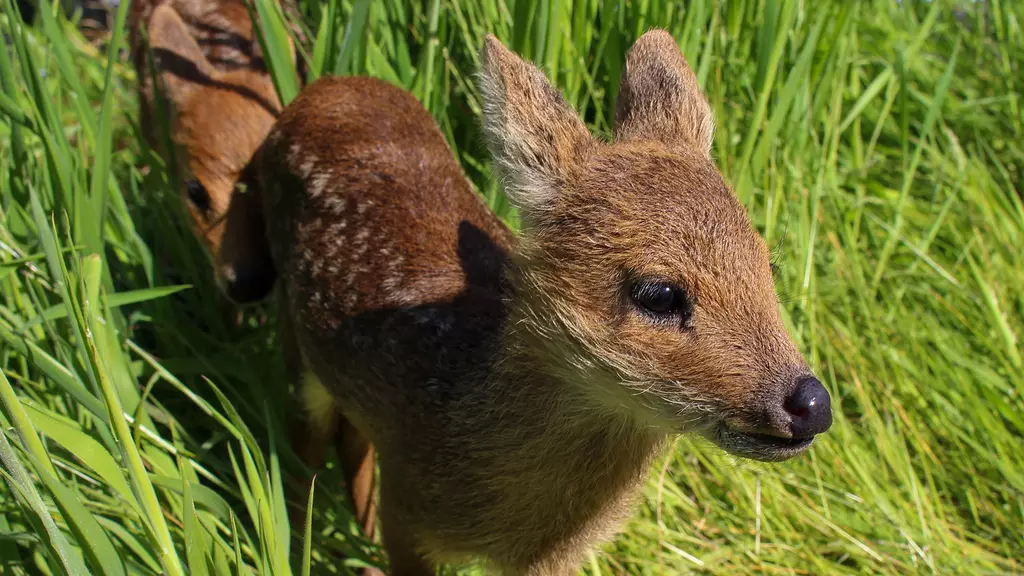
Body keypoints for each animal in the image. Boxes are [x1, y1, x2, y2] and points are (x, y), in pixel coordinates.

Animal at [228, 29, 833, 575]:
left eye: (767, 267)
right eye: (660, 294)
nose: (812, 403)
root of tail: (326, 86)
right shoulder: (411, 517)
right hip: (298, 356)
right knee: (302, 461)